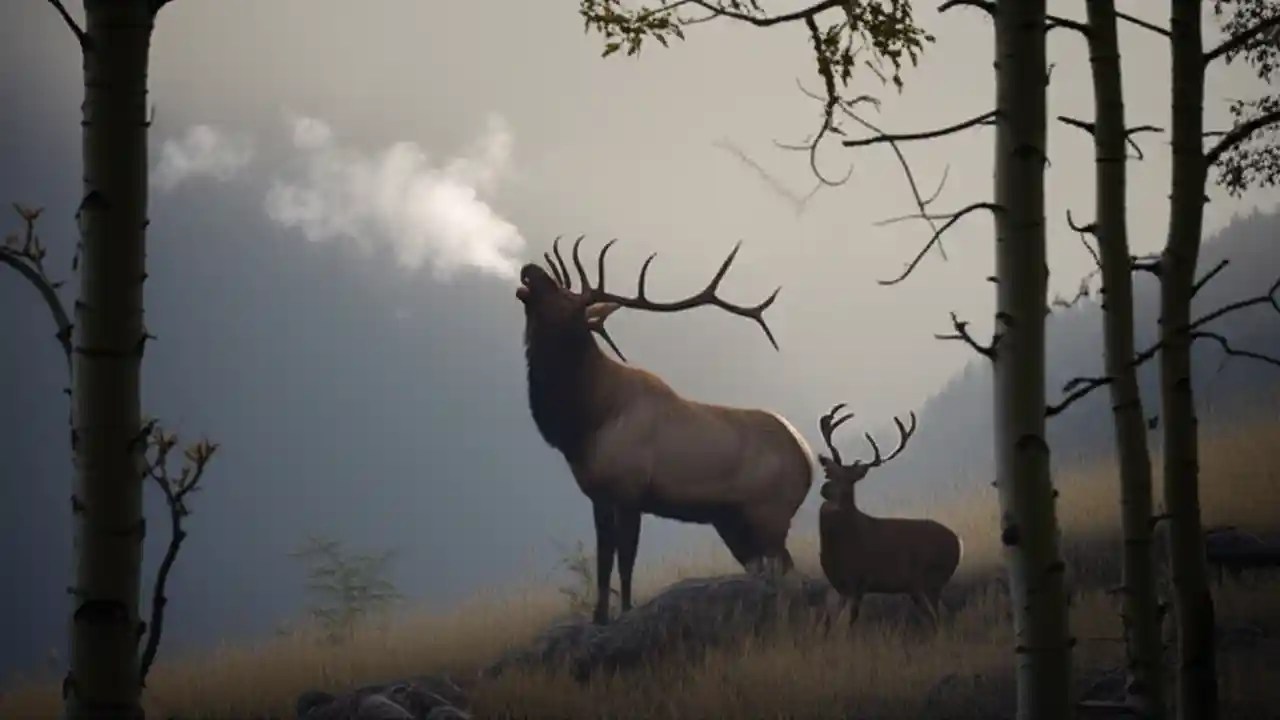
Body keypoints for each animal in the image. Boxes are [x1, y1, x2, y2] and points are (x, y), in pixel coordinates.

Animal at [517, 235, 815, 626]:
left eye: (563, 294)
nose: (529, 268)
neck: (586, 421)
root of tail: (809, 459)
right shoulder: (598, 495)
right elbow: (603, 561)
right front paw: (599, 616)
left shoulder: (630, 492)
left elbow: (625, 561)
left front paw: (626, 610)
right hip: (733, 523)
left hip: (770, 514)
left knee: (790, 570)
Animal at [814, 403, 962, 631]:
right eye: (829, 473)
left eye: (849, 480)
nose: (826, 489)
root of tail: (958, 542)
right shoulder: (839, 585)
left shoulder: (860, 580)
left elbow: (846, 625)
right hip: (919, 587)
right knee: (937, 617)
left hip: (932, 578)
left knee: (942, 616)